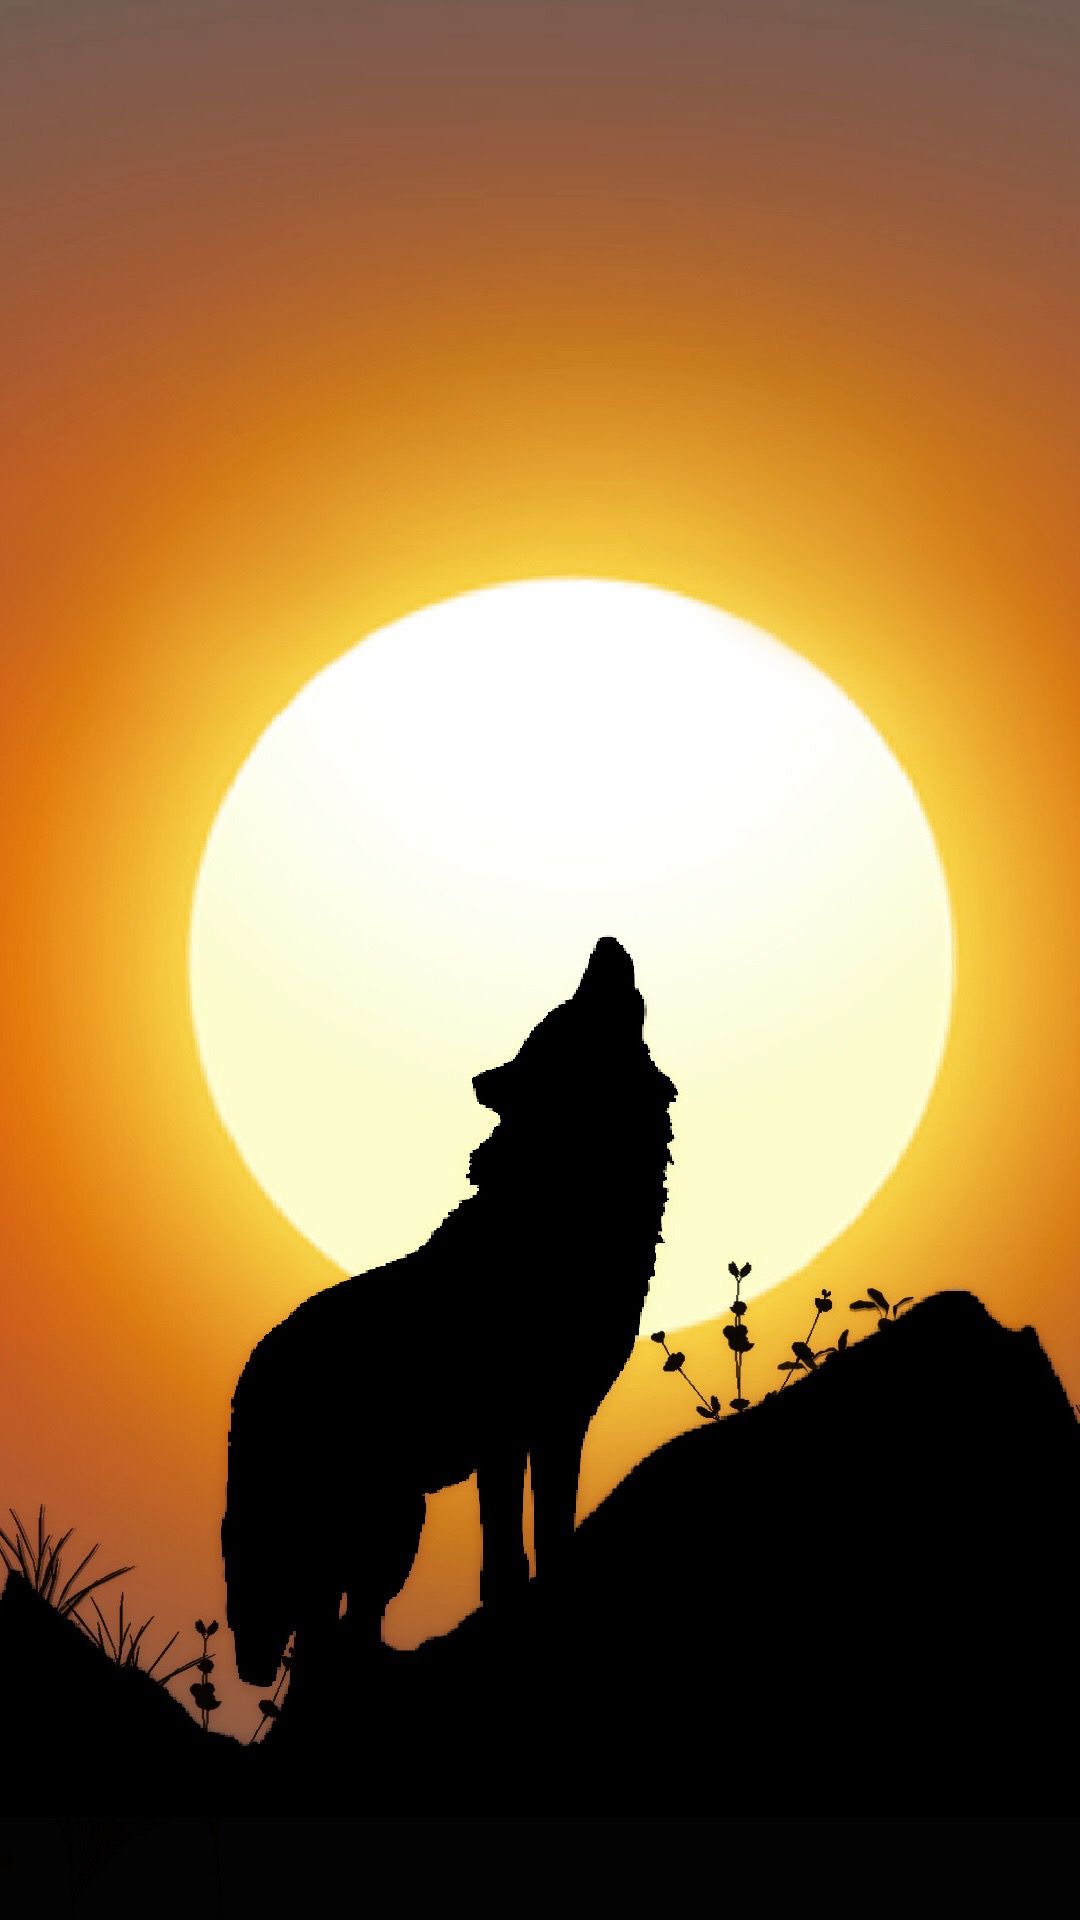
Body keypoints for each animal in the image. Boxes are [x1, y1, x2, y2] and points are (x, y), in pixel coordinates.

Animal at [222, 936, 677, 1689]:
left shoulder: (563, 1422)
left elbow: (553, 1529)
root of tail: (251, 1372)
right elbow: (505, 1556)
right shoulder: (505, 1433)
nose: (605, 945)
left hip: (394, 1529)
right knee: (314, 1634)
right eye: (565, 1016)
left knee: (344, 1628)